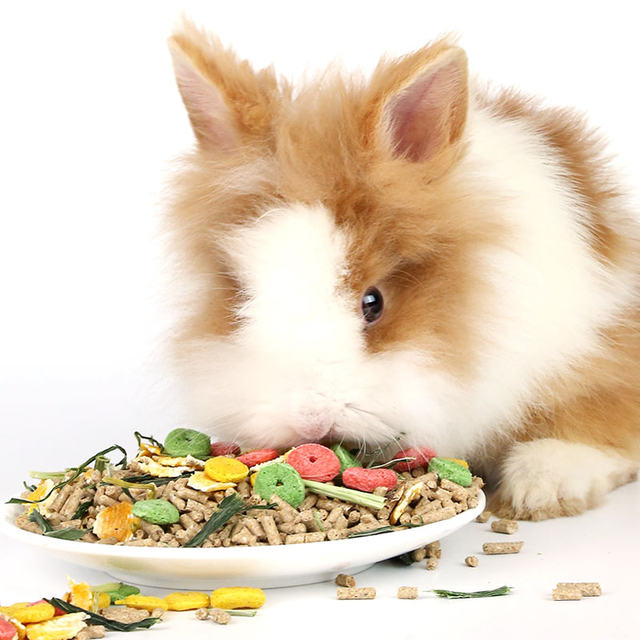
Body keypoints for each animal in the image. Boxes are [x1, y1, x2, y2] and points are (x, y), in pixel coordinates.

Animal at [165, 20, 640, 520]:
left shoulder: (602, 346)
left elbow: (597, 421)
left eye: (373, 302)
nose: (311, 418)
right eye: (240, 302)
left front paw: (541, 490)